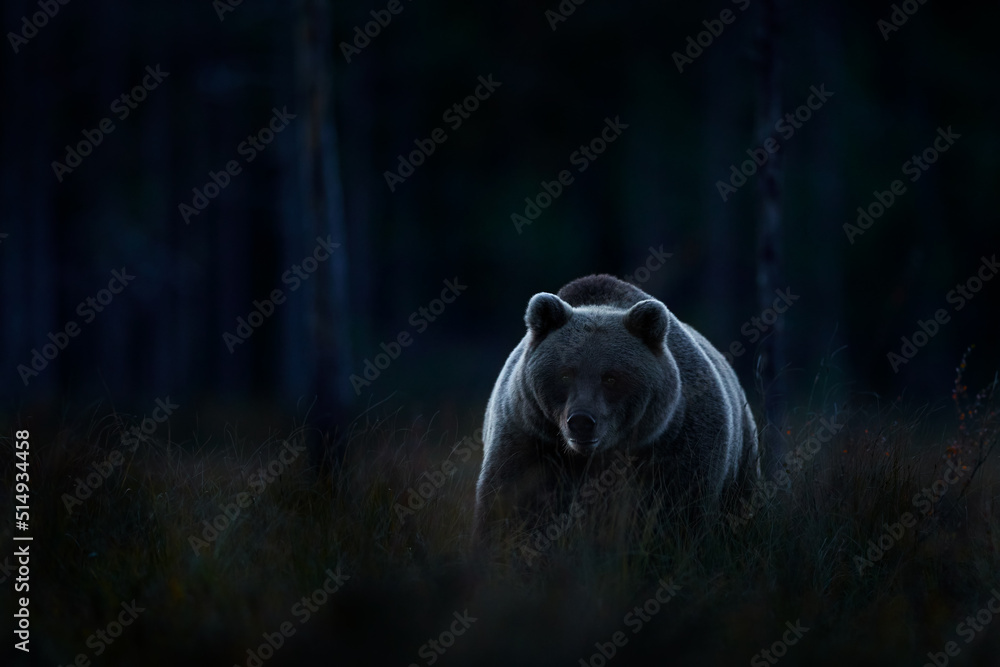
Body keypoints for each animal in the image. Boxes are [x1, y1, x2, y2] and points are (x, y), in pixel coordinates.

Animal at [473, 273, 759, 549]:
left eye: (610, 378)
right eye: (566, 374)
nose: (581, 421)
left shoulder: (674, 445)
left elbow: (680, 512)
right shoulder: (529, 438)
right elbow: (506, 504)